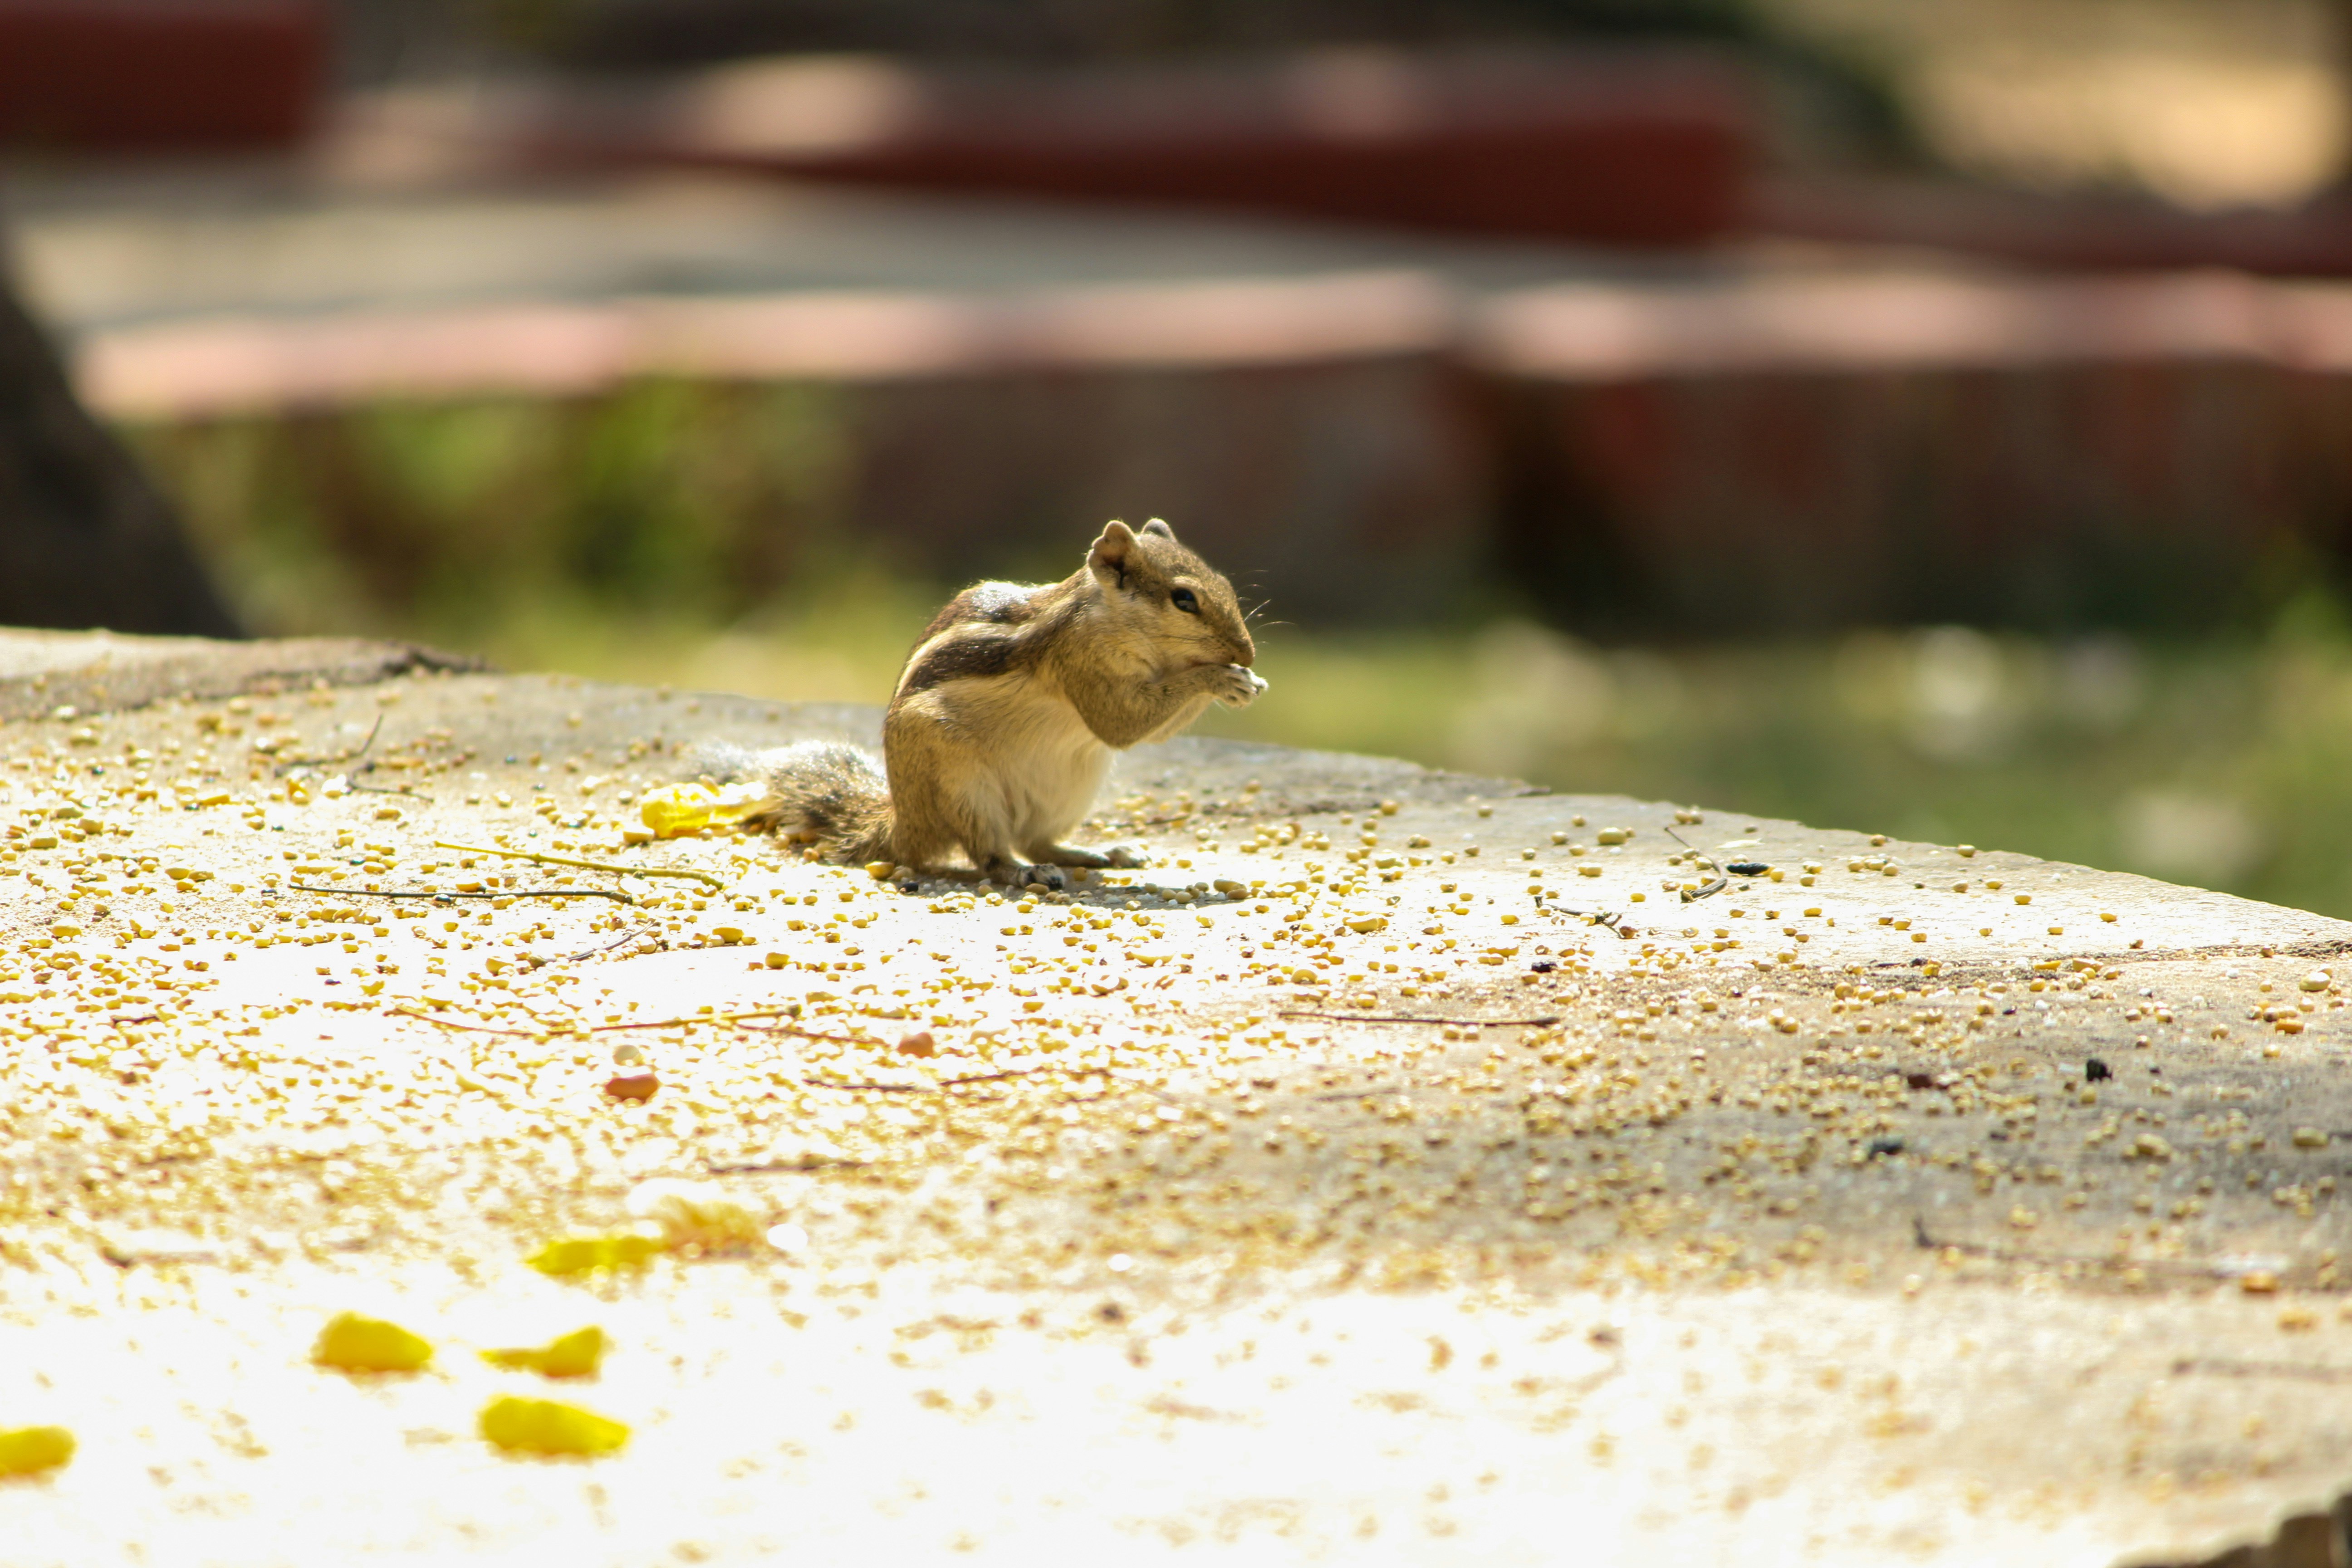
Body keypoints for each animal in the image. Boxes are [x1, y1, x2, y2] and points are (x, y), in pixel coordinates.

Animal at [707, 518, 1263, 889]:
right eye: (1184, 600)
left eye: (1227, 586)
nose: (1247, 652)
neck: (1105, 616)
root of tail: (904, 823)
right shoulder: (1084, 663)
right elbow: (1120, 724)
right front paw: (1222, 679)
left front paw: (1248, 679)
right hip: (963, 786)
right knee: (991, 856)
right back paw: (1024, 874)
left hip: (1073, 787)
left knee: (1037, 840)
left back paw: (1100, 853)